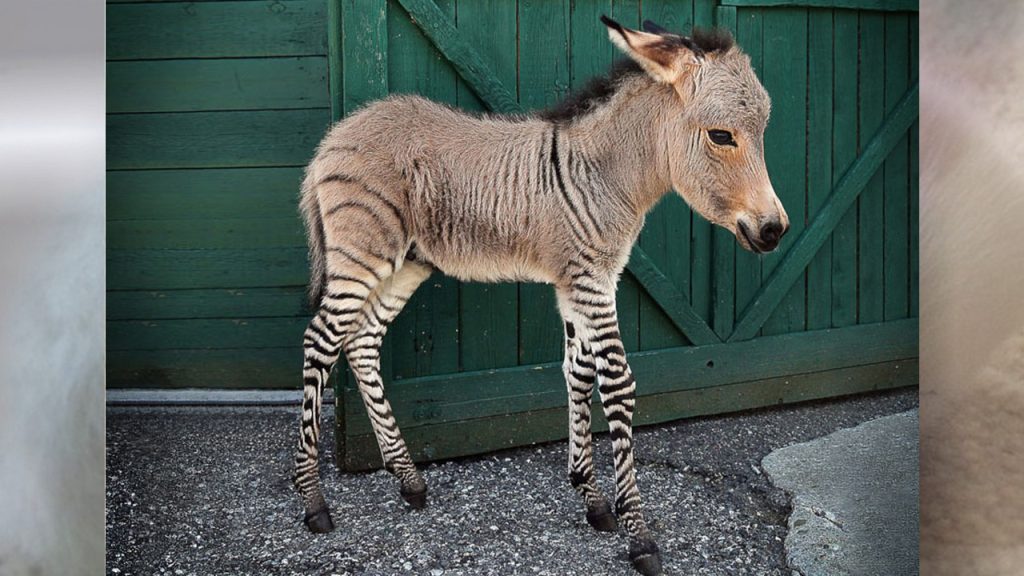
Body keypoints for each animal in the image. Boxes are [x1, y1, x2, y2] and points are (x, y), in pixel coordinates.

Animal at [293, 16, 787, 576]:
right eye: (721, 136)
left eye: (761, 133)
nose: (775, 231)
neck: (605, 175)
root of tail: (336, 134)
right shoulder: (590, 279)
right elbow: (617, 383)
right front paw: (639, 535)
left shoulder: (581, 282)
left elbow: (578, 372)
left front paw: (591, 497)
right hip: (362, 253)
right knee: (320, 342)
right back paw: (313, 502)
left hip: (405, 263)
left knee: (360, 343)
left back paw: (409, 481)